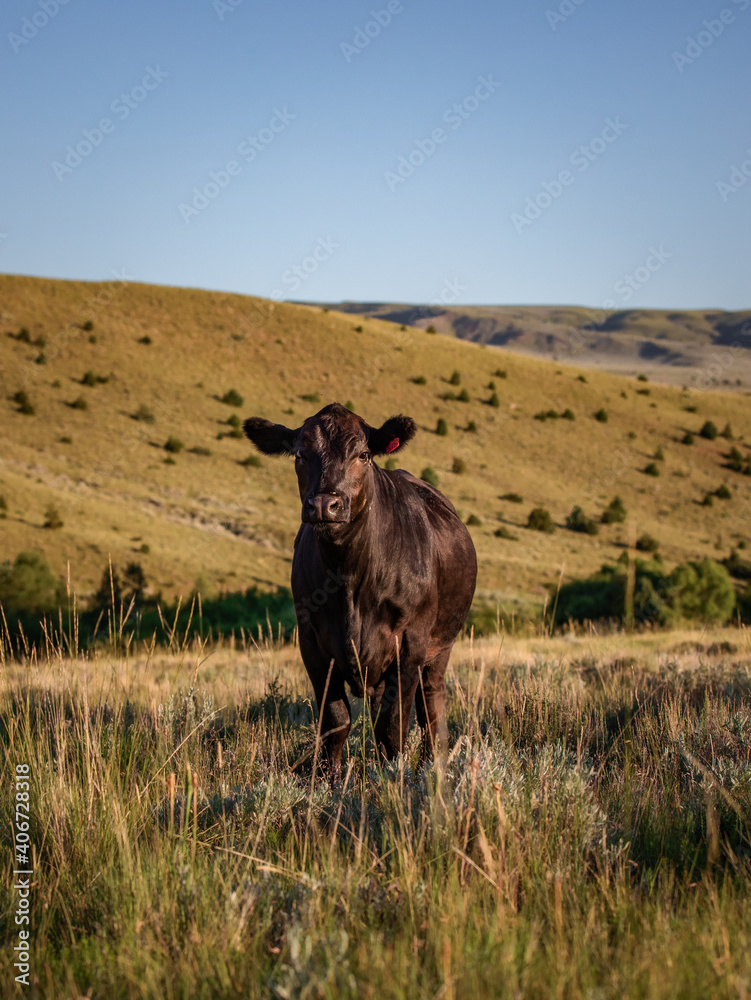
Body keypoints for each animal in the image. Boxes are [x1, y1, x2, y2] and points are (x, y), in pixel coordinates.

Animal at [243, 402, 477, 777]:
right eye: (300, 455)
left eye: (363, 455)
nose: (324, 505)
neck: (350, 579)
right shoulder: (311, 642)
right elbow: (335, 721)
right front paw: (328, 779)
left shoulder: (410, 642)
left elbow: (393, 724)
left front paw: (395, 778)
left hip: (441, 646)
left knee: (431, 706)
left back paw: (433, 765)